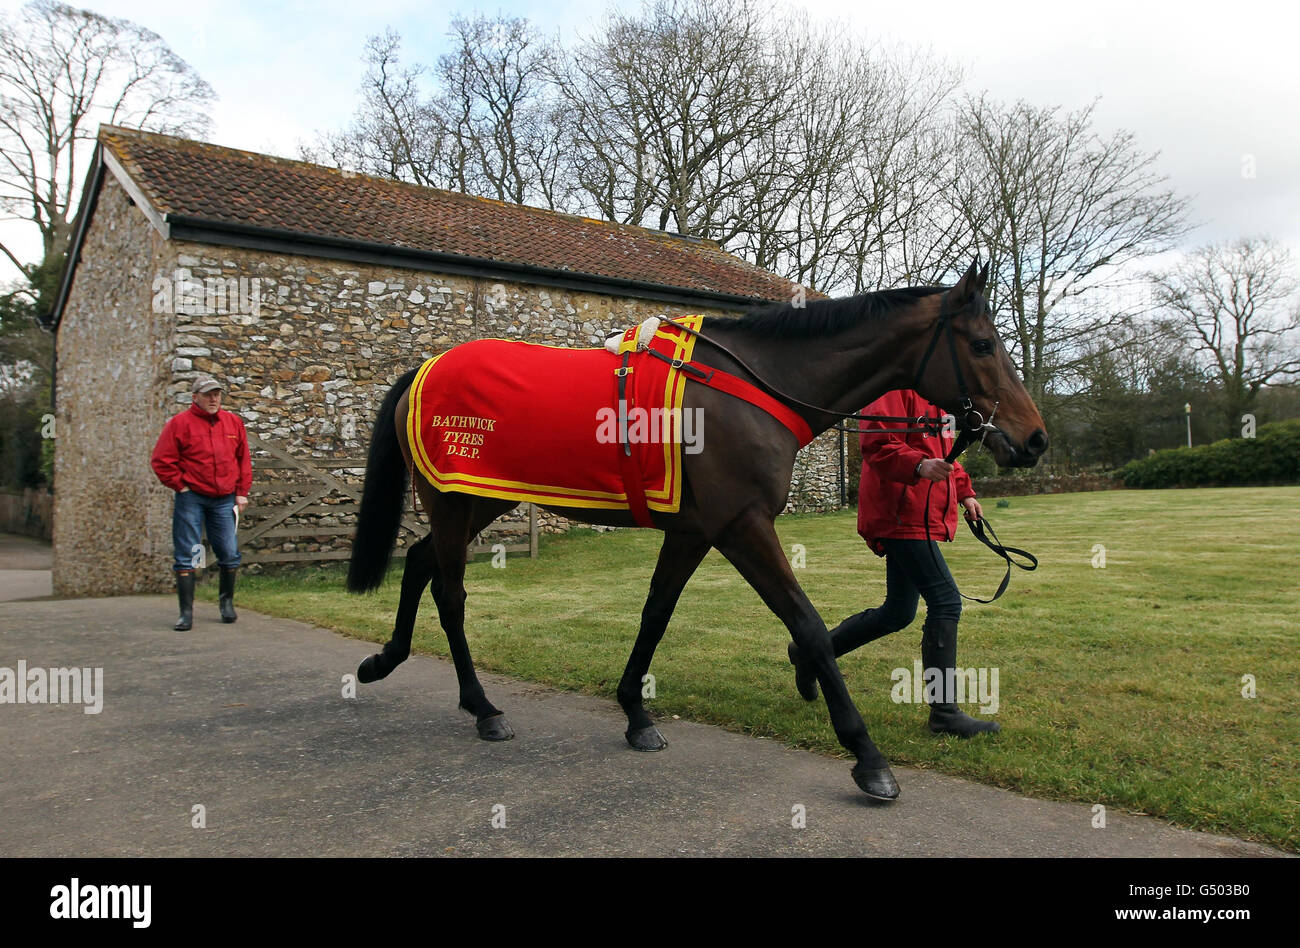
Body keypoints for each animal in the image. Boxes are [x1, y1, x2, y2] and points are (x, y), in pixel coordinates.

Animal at [345, 260, 1048, 801]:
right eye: (982, 345)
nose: (1034, 439)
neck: (751, 389)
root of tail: (424, 370)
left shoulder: (694, 530)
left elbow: (657, 612)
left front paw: (635, 711)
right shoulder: (743, 527)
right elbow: (807, 625)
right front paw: (867, 756)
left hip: (478, 503)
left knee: (419, 563)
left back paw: (386, 661)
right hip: (454, 501)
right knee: (450, 594)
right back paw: (482, 707)